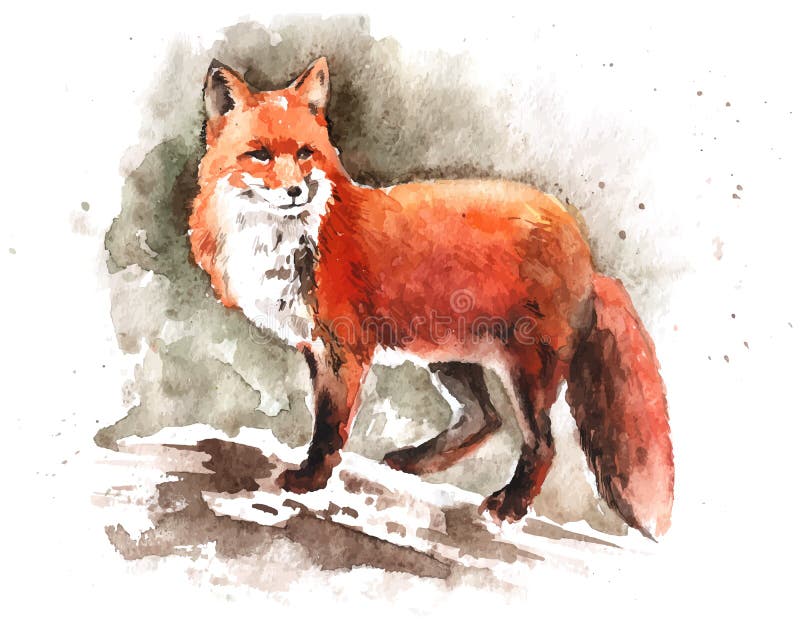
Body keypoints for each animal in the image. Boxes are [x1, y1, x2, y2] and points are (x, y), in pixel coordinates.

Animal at [188, 57, 674, 539]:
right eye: (261, 154)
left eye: (305, 153)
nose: (294, 191)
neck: (288, 242)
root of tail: (590, 259)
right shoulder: (316, 346)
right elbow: (325, 420)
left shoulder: (346, 349)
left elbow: (329, 428)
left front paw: (310, 479)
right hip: (451, 357)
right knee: (484, 419)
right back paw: (412, 463)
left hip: (527, 371)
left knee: (542, 445)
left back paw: (509, 506)